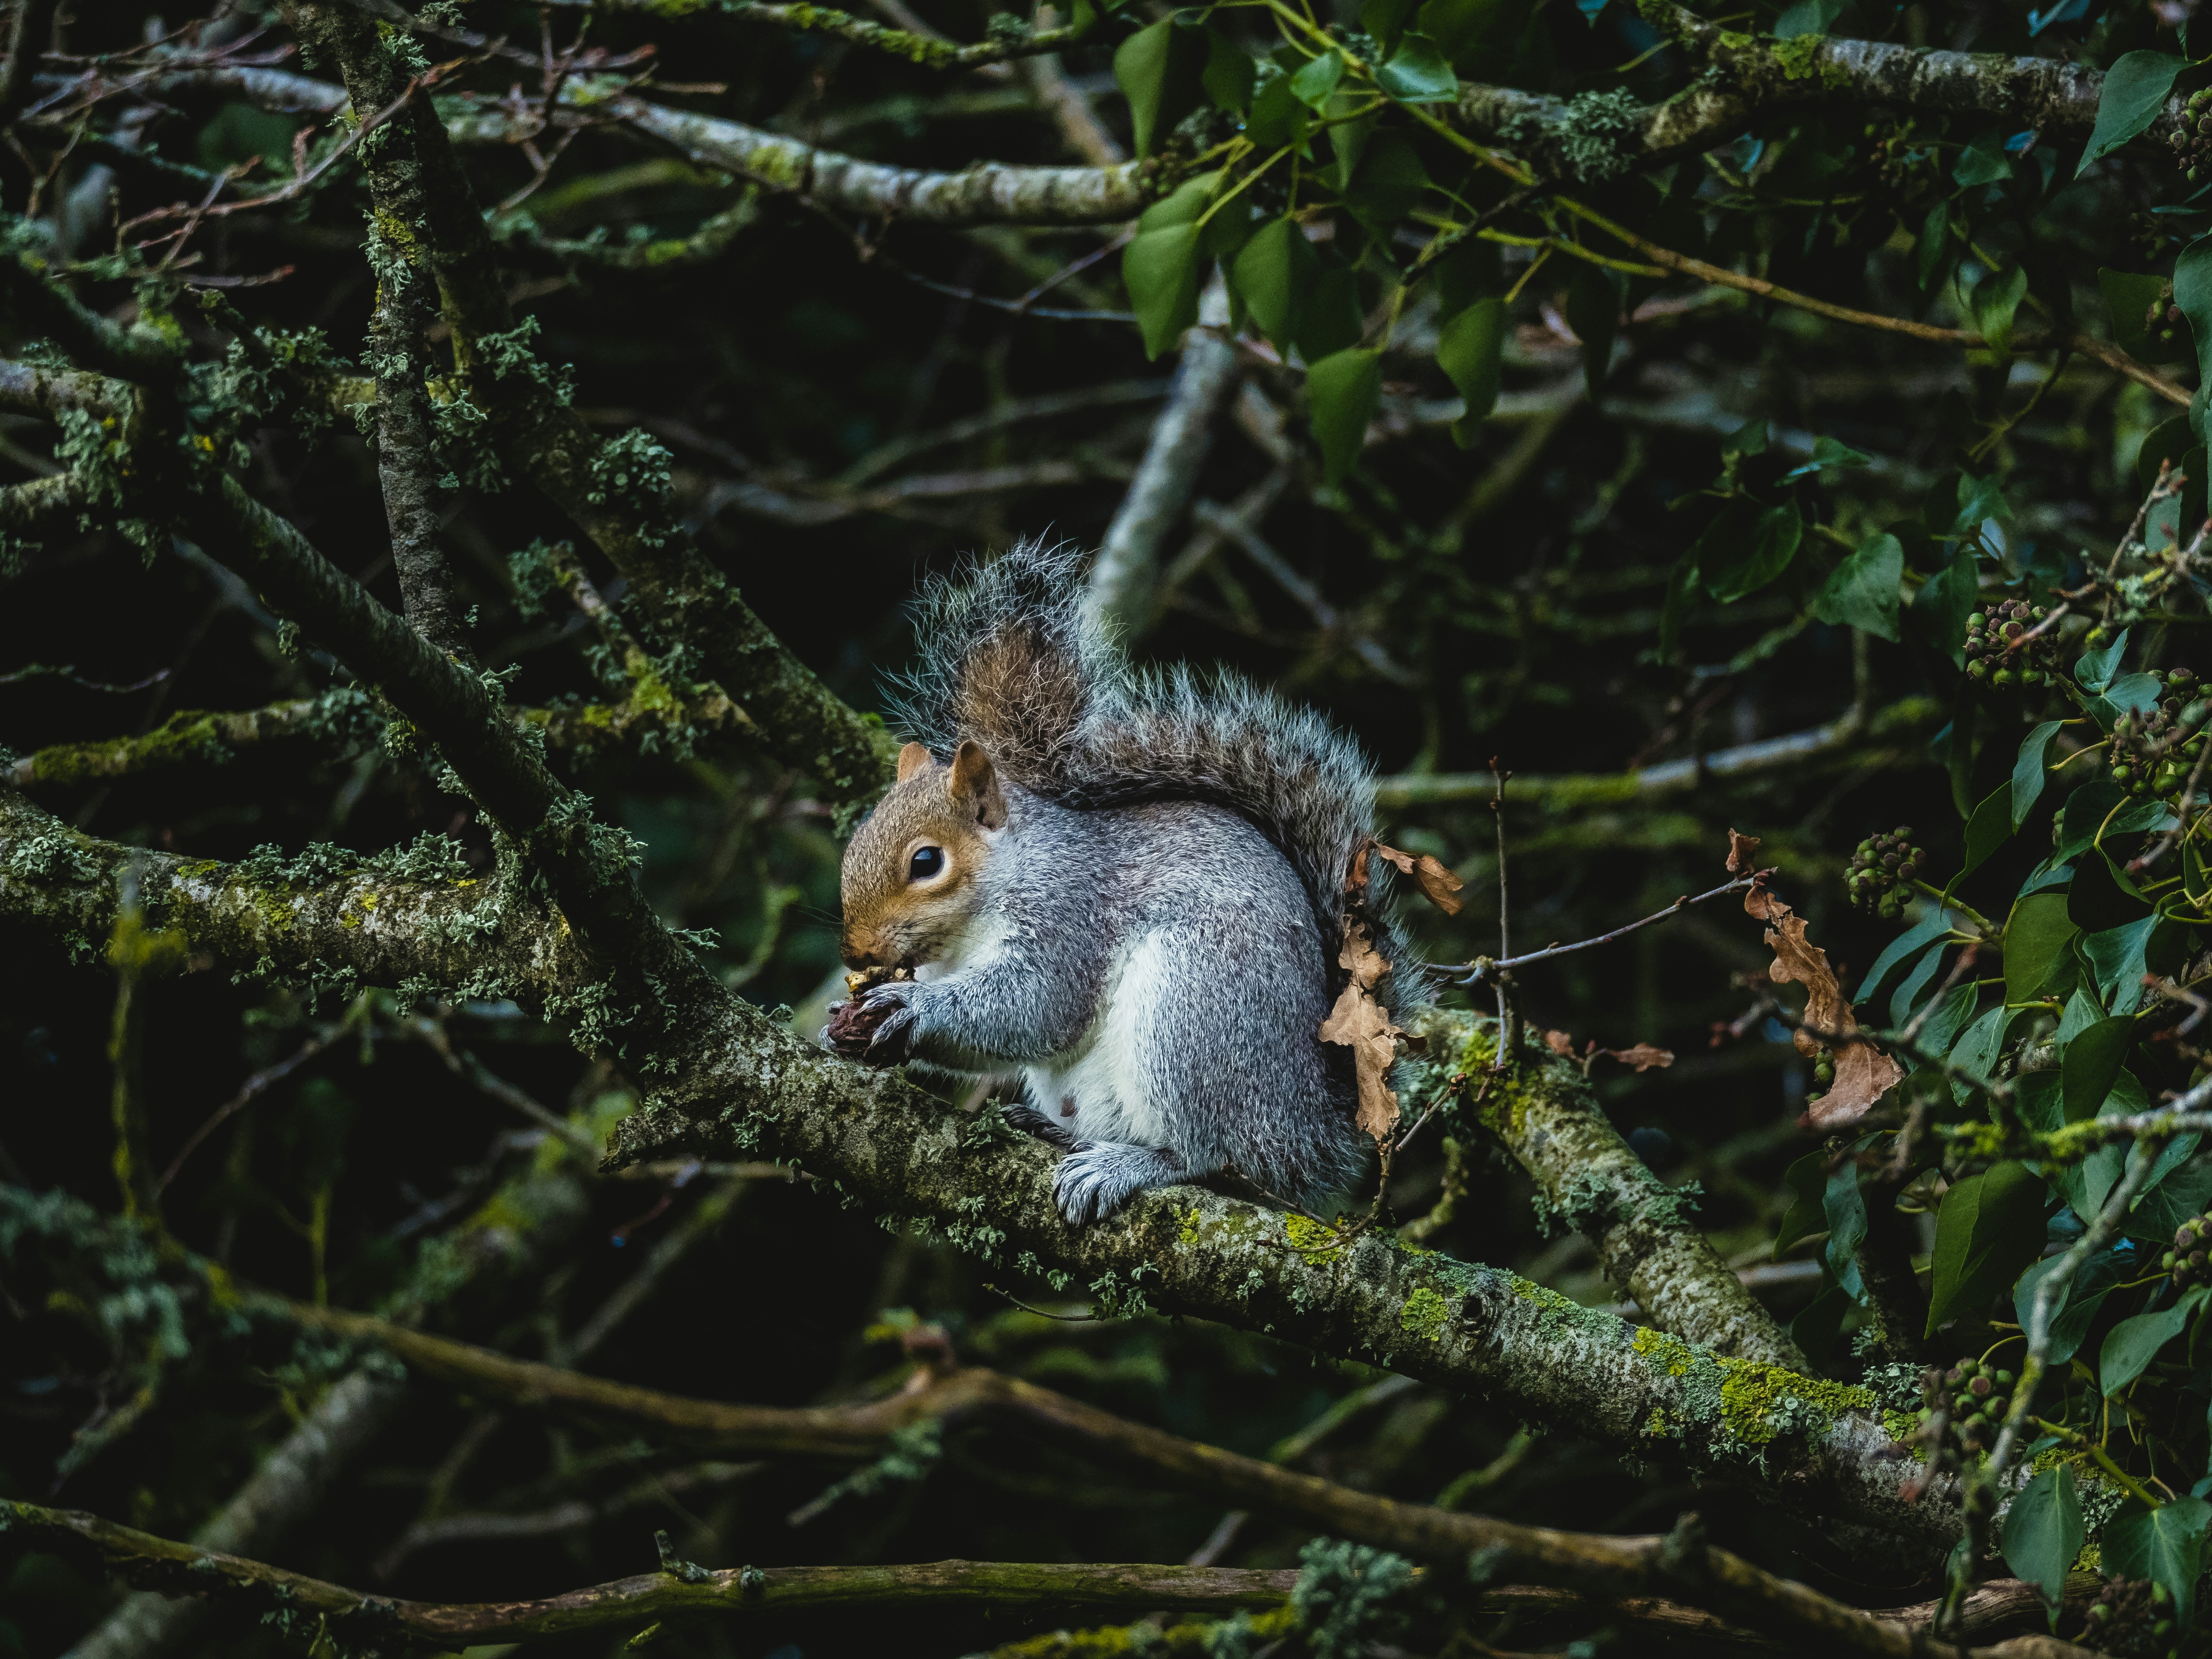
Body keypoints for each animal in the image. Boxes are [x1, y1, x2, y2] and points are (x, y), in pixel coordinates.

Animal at [829, 541, 1410, 1224]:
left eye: (926, 863)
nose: (856, 953)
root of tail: (1304, 1133)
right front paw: (849, 1025)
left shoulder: (1067, 915)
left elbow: (1037, 1007)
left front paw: (912, 1006)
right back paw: (1057, 1131)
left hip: (1192, 1012)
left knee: (1209, 1155)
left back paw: (1127, 1165)